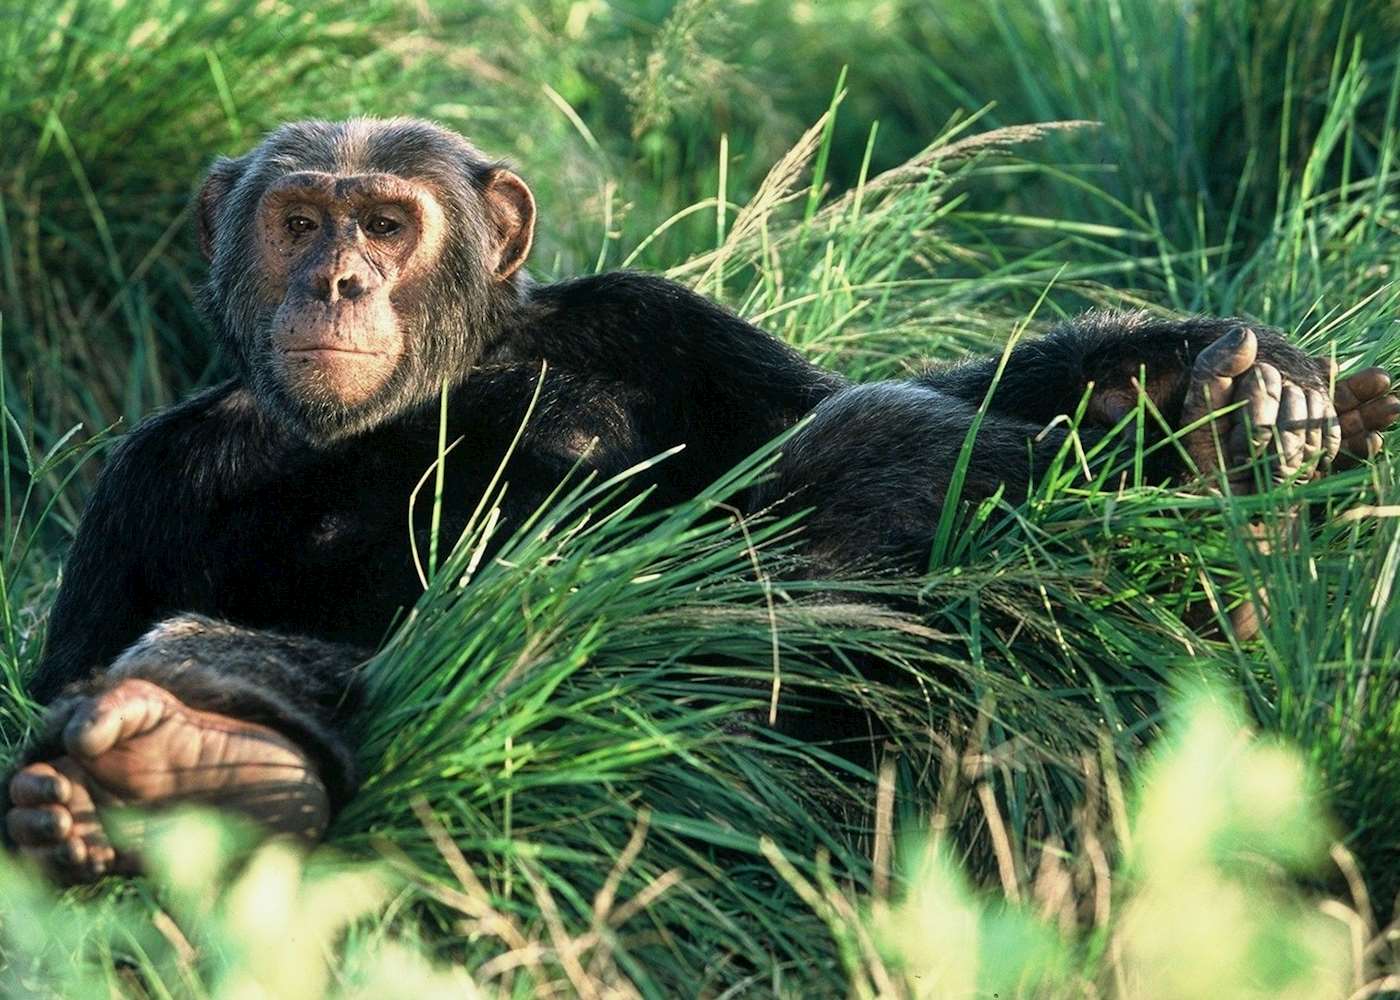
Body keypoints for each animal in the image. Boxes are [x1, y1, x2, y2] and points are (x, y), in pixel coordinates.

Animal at [5, 118, 1397, 883]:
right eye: (297, 220)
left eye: (387, 225)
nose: (337, 280)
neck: (432, 387)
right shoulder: (141, 487)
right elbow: (66, 669)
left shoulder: (659, 321)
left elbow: (826, 395)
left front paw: (1225, 374)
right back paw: (197, 762)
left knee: (869, 438)